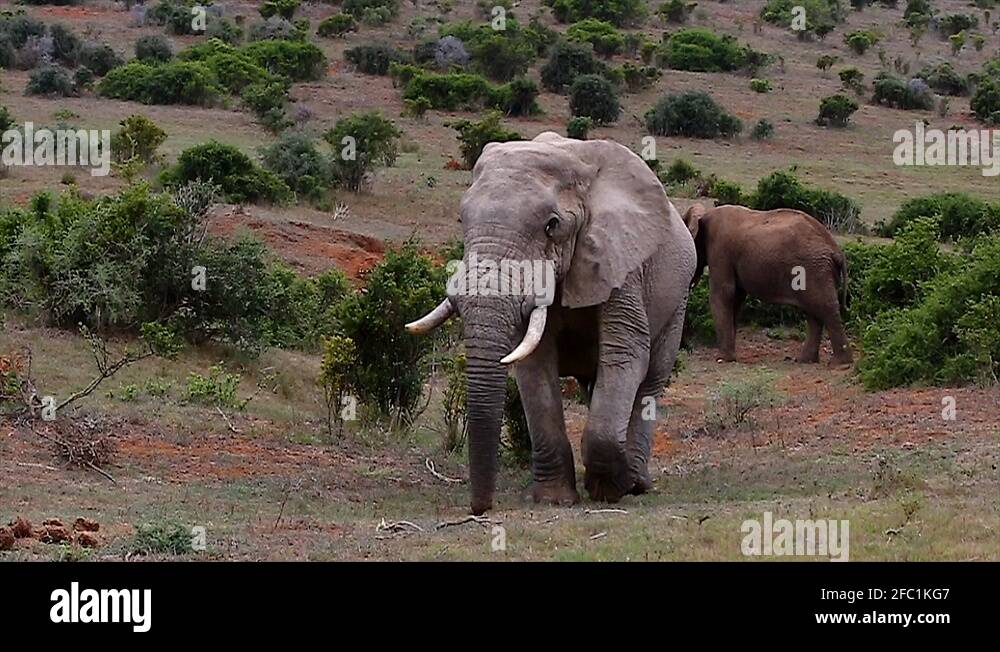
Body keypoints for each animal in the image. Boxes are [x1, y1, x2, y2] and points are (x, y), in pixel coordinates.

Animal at [406, 132, 697, 515]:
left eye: (552, 226)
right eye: (461, 219)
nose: (481, 508)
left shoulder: (622, 264)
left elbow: (625, 353)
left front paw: (610, 488)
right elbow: (535, 365)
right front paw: (556, 498)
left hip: (678, 298)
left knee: (650, 381)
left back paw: (637, 483)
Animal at [683, 203, 852, 365]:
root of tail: (837, 251)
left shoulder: (720, 249)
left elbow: (723, 293)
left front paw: (722, 359)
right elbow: (736, 298)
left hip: (815, 269)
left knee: (824, 307)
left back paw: (840, 363)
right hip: (817, 270)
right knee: (813, 311)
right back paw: (806, 360)